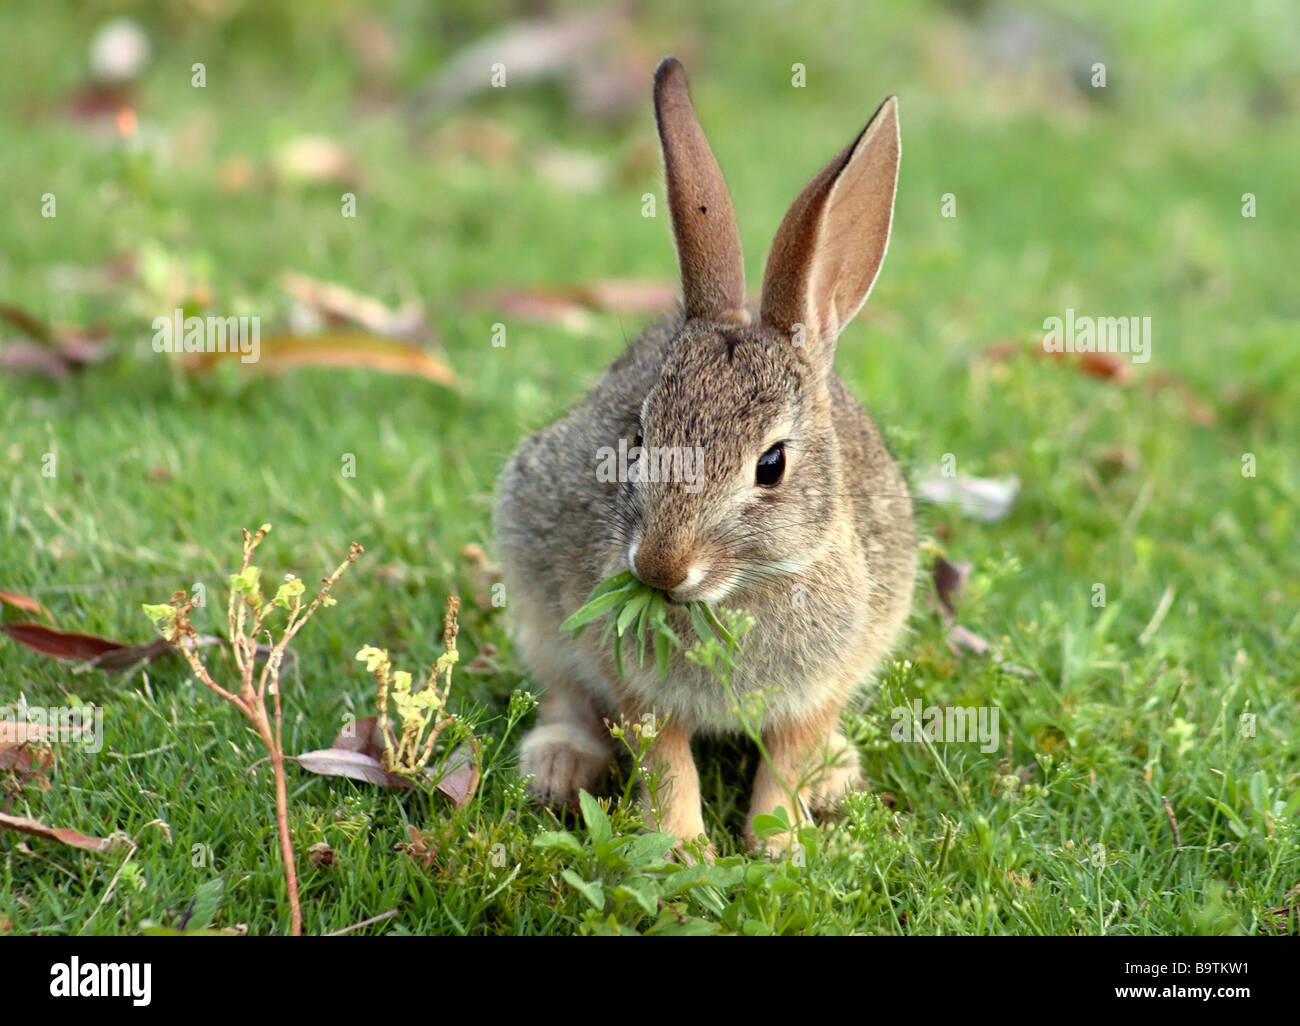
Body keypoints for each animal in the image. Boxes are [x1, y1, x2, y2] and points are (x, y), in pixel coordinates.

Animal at [494, 56, 916, 855]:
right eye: (637, 441)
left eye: (771, 466)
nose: (659, 567)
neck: (735, 594)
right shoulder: (632, 682)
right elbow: (664, 761)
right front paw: (684, 851)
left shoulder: (821, 680)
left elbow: (786, 758)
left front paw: (779, 849)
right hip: (534, 597)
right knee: (564, 695)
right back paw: (560, 765)